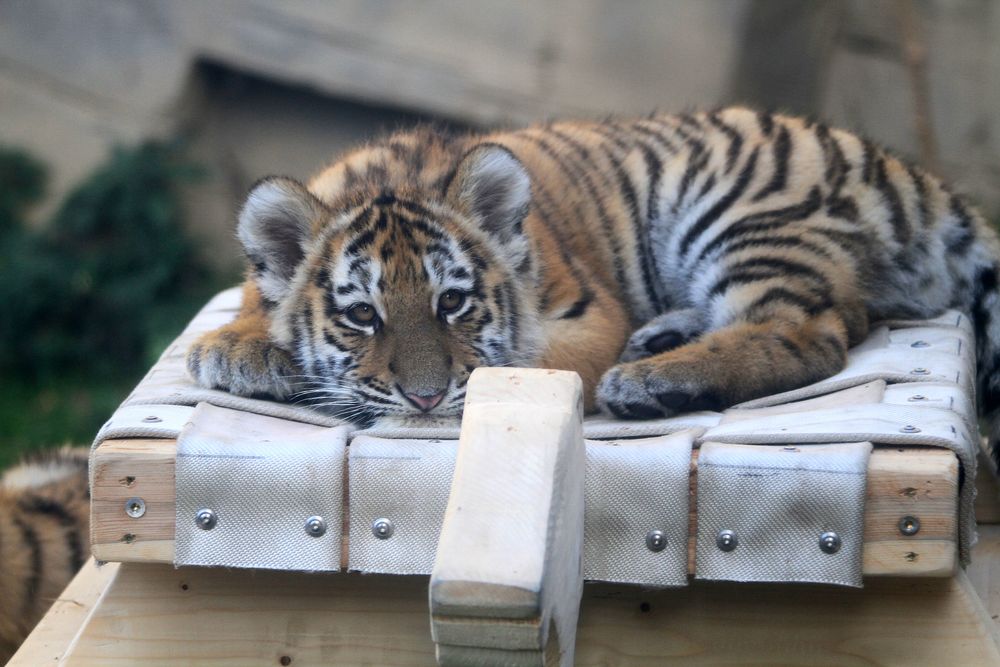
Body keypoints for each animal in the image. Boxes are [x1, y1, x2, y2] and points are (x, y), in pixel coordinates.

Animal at [186, 106, 1000, 453]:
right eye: (363, 316)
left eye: (453, 303)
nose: (424, 398)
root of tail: (896, 164)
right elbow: (256, 295)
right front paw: (238, 346)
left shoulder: (587, 314)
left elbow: (525, 366)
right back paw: (662, 341)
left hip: (741, 216)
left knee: (814, 329)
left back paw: (650, 380)